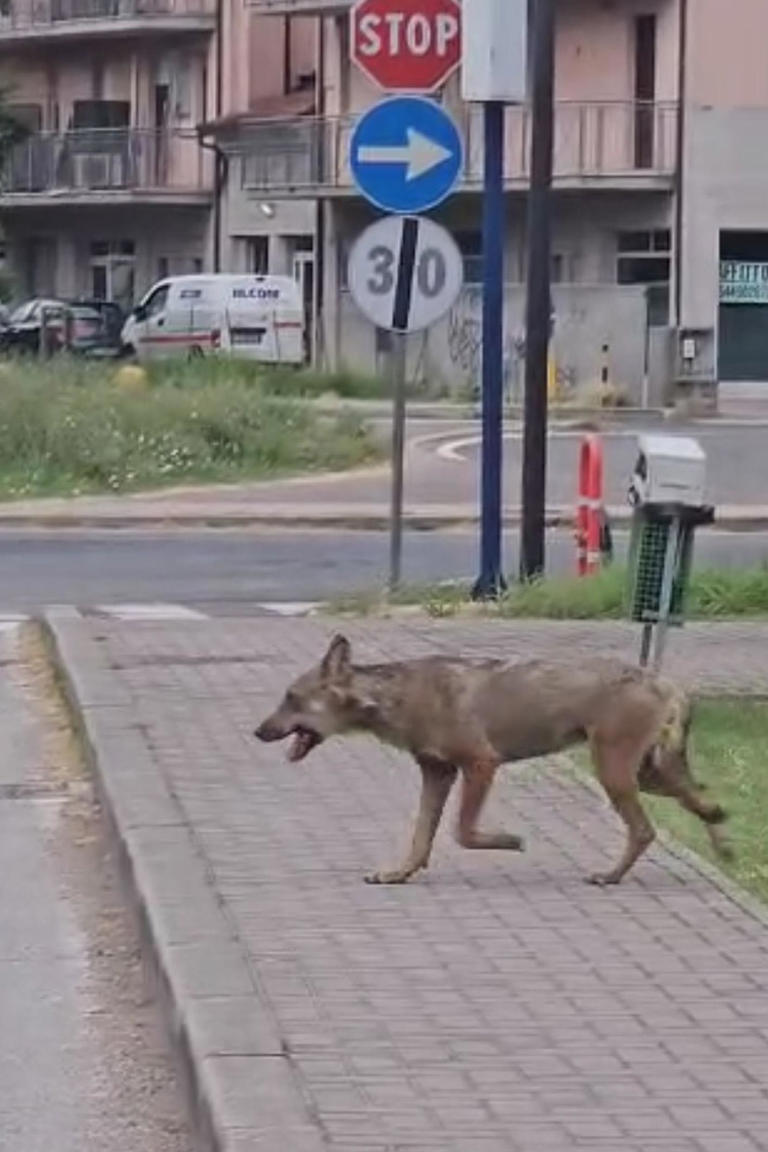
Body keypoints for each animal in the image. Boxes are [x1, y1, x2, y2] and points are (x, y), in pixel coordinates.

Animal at [254, 635, 731, 887]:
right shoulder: (437, 773)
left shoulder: (481, 764)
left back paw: (611, 875)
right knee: (702, 798)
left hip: (614, 772)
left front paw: (510, 841)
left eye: (291, 698)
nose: (257, 732)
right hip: (647, 773)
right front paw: (399, 874)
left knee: (647, 828)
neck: (396, 698)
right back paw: (723, 843)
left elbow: (462, 831)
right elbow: (421, 837)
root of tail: (665, 682)